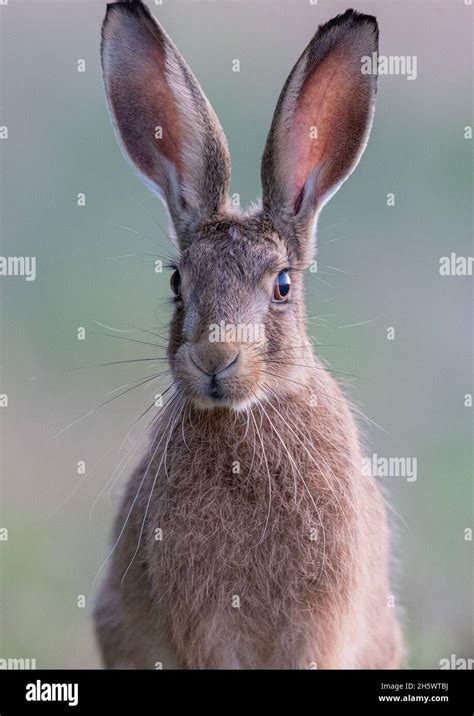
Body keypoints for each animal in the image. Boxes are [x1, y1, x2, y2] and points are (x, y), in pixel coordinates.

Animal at [95, 0, 403, 669]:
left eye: (283, 285)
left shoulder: (318, 628)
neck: (247, 420)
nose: (216, 355)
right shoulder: (207, 632)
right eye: (178, 281)